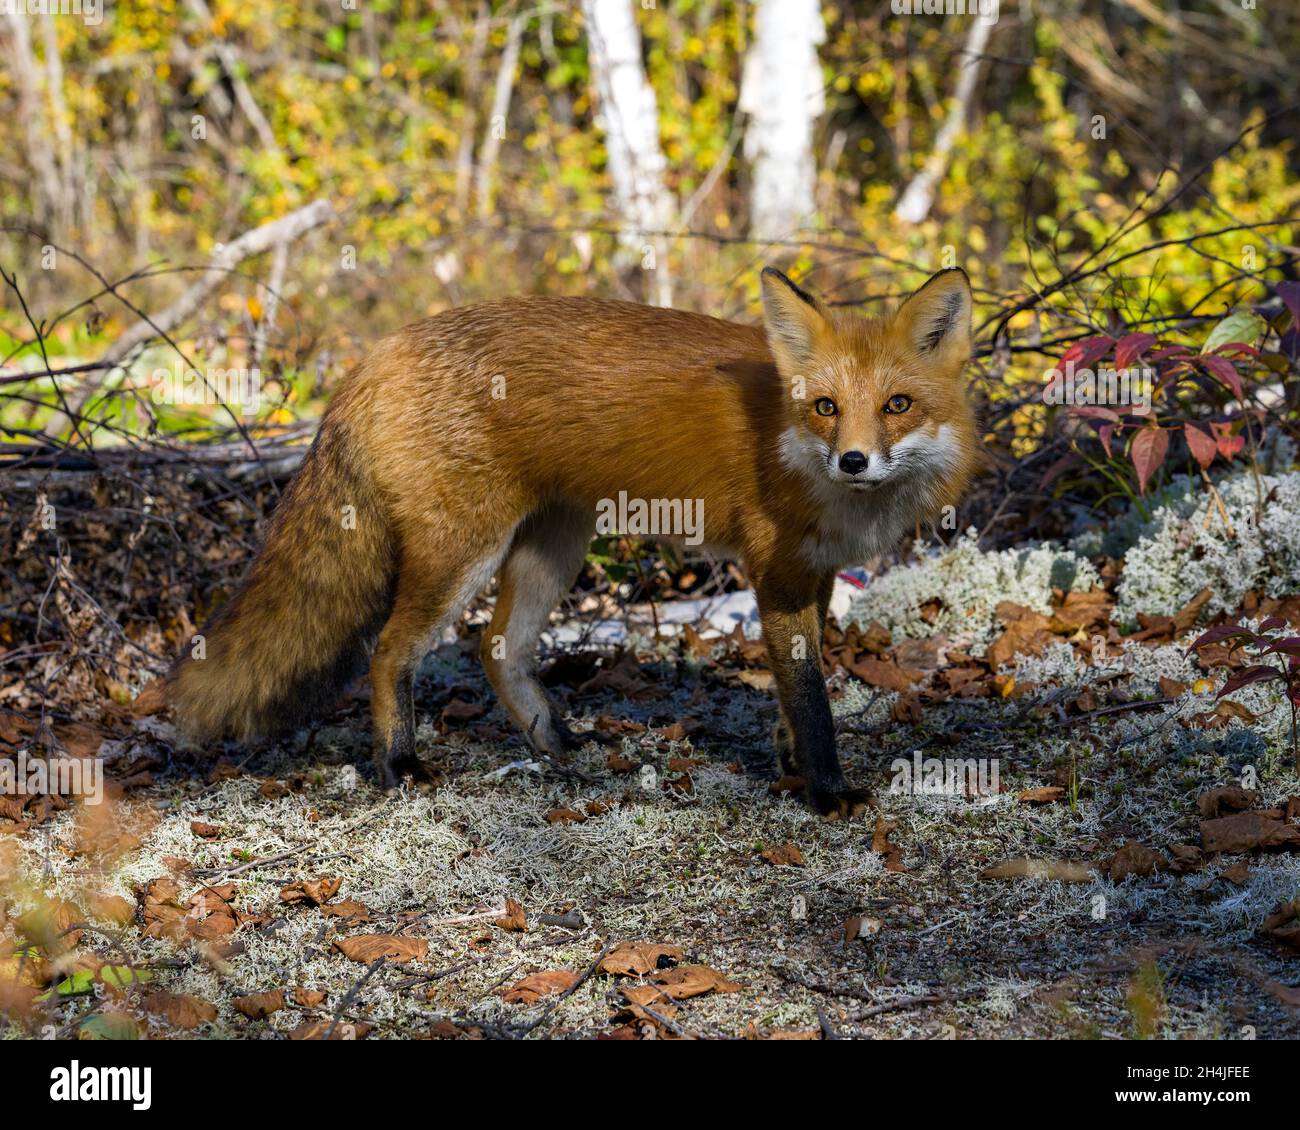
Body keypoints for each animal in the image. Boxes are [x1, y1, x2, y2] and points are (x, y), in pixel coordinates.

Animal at [166, 266, 979, 818]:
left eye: (897, 406)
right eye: (826, 408)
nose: (854, 461)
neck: (788, 447)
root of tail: (372, 357)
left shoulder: (814, 575)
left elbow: (789, 696)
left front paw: (789, 766)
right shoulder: (775, 576)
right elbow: (809, 700)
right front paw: (826, 789)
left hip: (553, 547)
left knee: (498, 649)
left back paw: (555, 747)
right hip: (465, 553)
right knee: (390, 650)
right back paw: (400, 765)